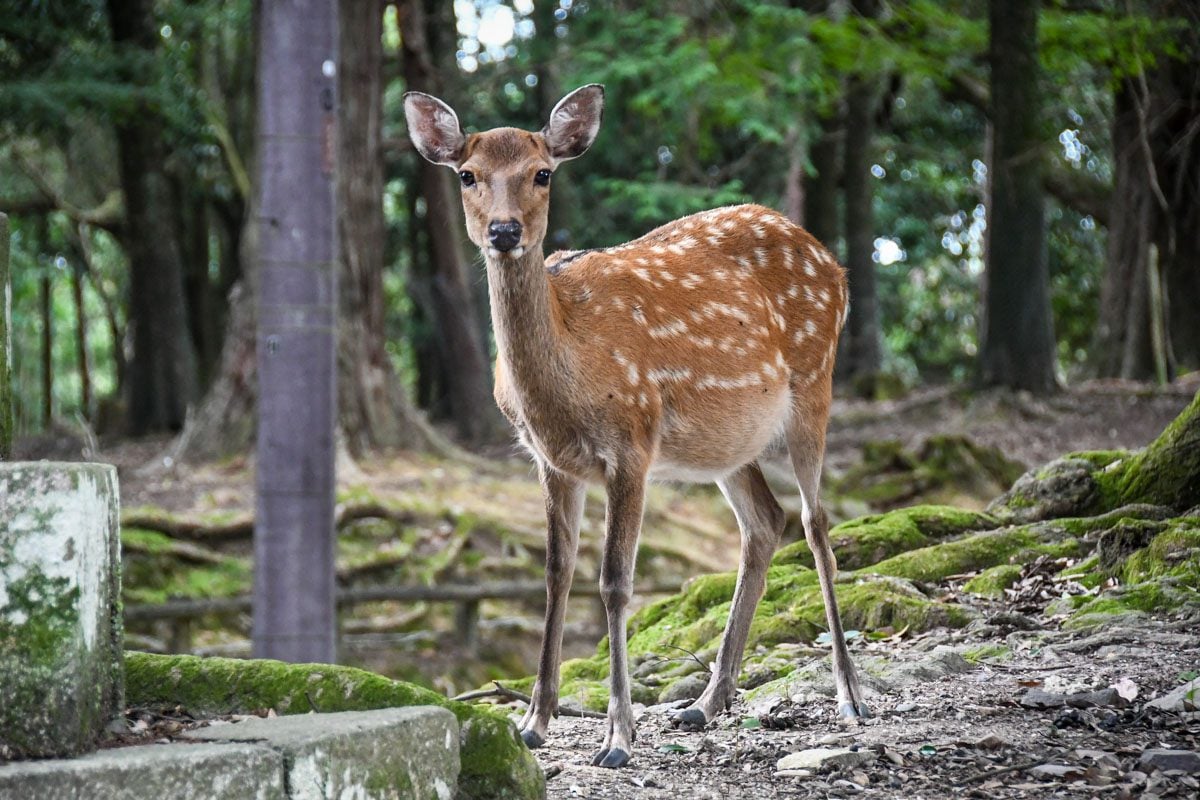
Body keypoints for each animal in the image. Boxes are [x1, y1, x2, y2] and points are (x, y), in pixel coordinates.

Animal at [404, 84, 868, 769]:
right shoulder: (550, 460)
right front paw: (533, 723)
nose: (505, 231)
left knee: (815, 524)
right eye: (467, 174)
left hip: (815, 383)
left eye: (542, 173)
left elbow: (617, 582)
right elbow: (556, 574)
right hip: (726, 443)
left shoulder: (632, 441)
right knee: (765, 522)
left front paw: (618, 736)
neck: (565, 377)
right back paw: (704, 703)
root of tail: (835, 266)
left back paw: (850, 696)